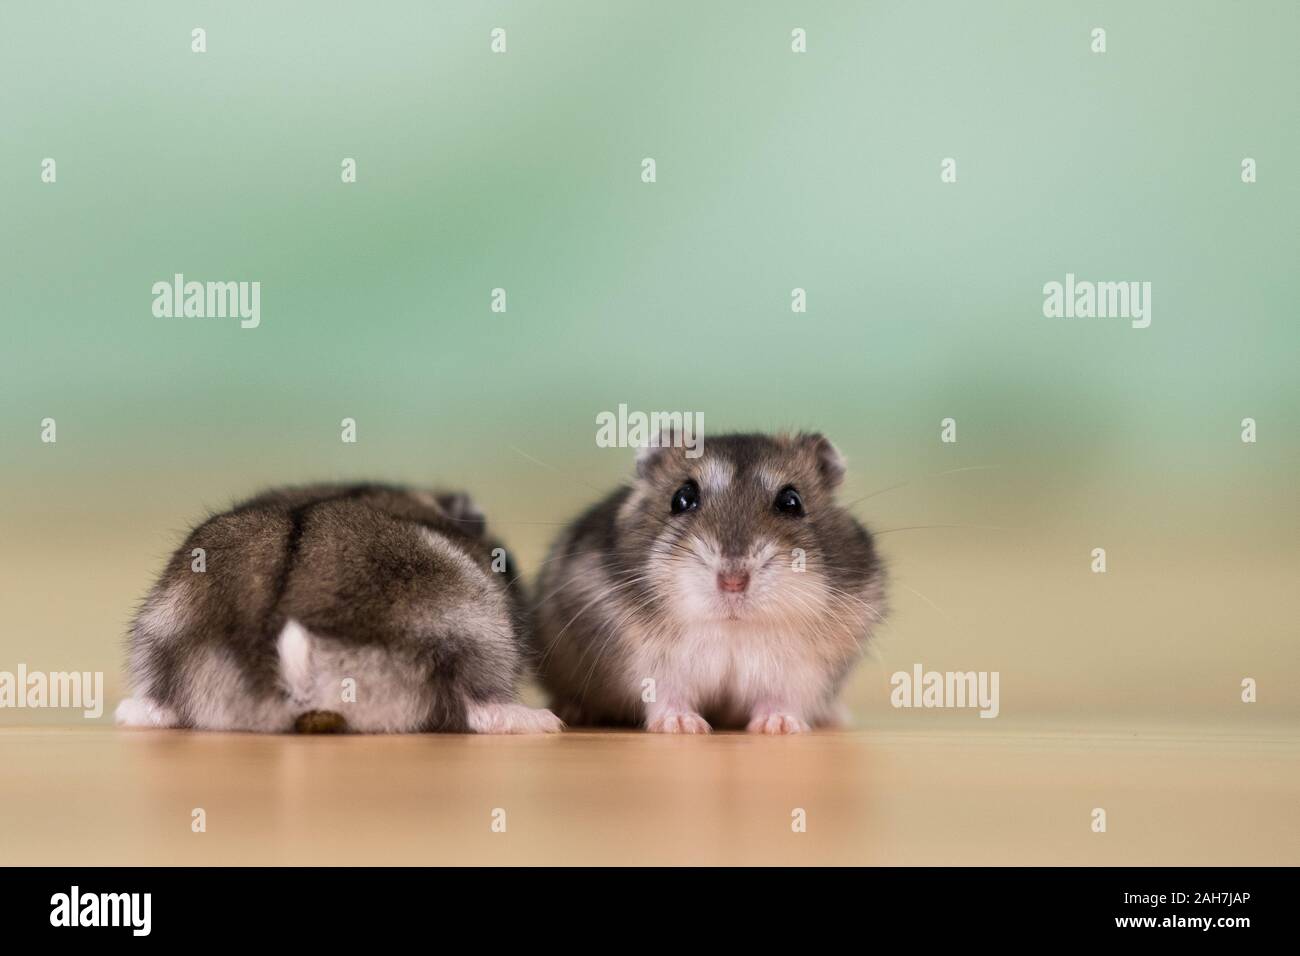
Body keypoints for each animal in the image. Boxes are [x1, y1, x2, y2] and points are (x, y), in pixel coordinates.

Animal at [532, 433, 885, 734]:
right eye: (682, 497)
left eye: (792, 501)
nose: (733, 581)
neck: (731, 629)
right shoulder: (645, 660)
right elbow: (666, 692)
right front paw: (682, 726)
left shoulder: (803, 669)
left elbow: (782, 697)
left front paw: (780, 726)